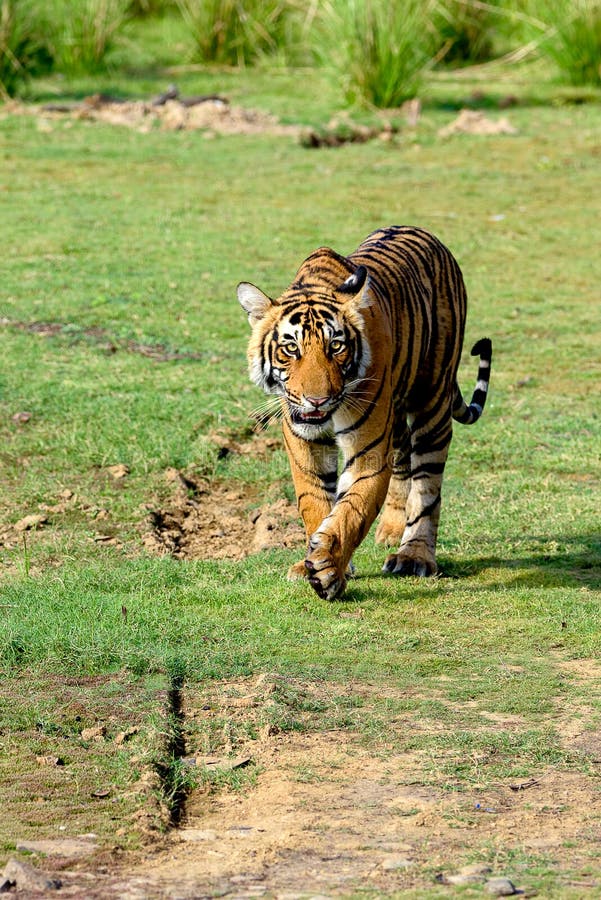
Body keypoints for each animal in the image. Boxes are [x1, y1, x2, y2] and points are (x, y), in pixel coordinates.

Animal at [237, 225, 492, 601]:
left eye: (336, 346)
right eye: (291, 348)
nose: (316, 400)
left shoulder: (368, 448)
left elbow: (351, 511)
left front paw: (329, 569)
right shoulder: (305, 444)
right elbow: (315, 502)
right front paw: (315, 562)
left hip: (432, 399)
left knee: (427, 484)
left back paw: (414, 556)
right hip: (395, 412)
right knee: (403, 458)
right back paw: (391, 530)